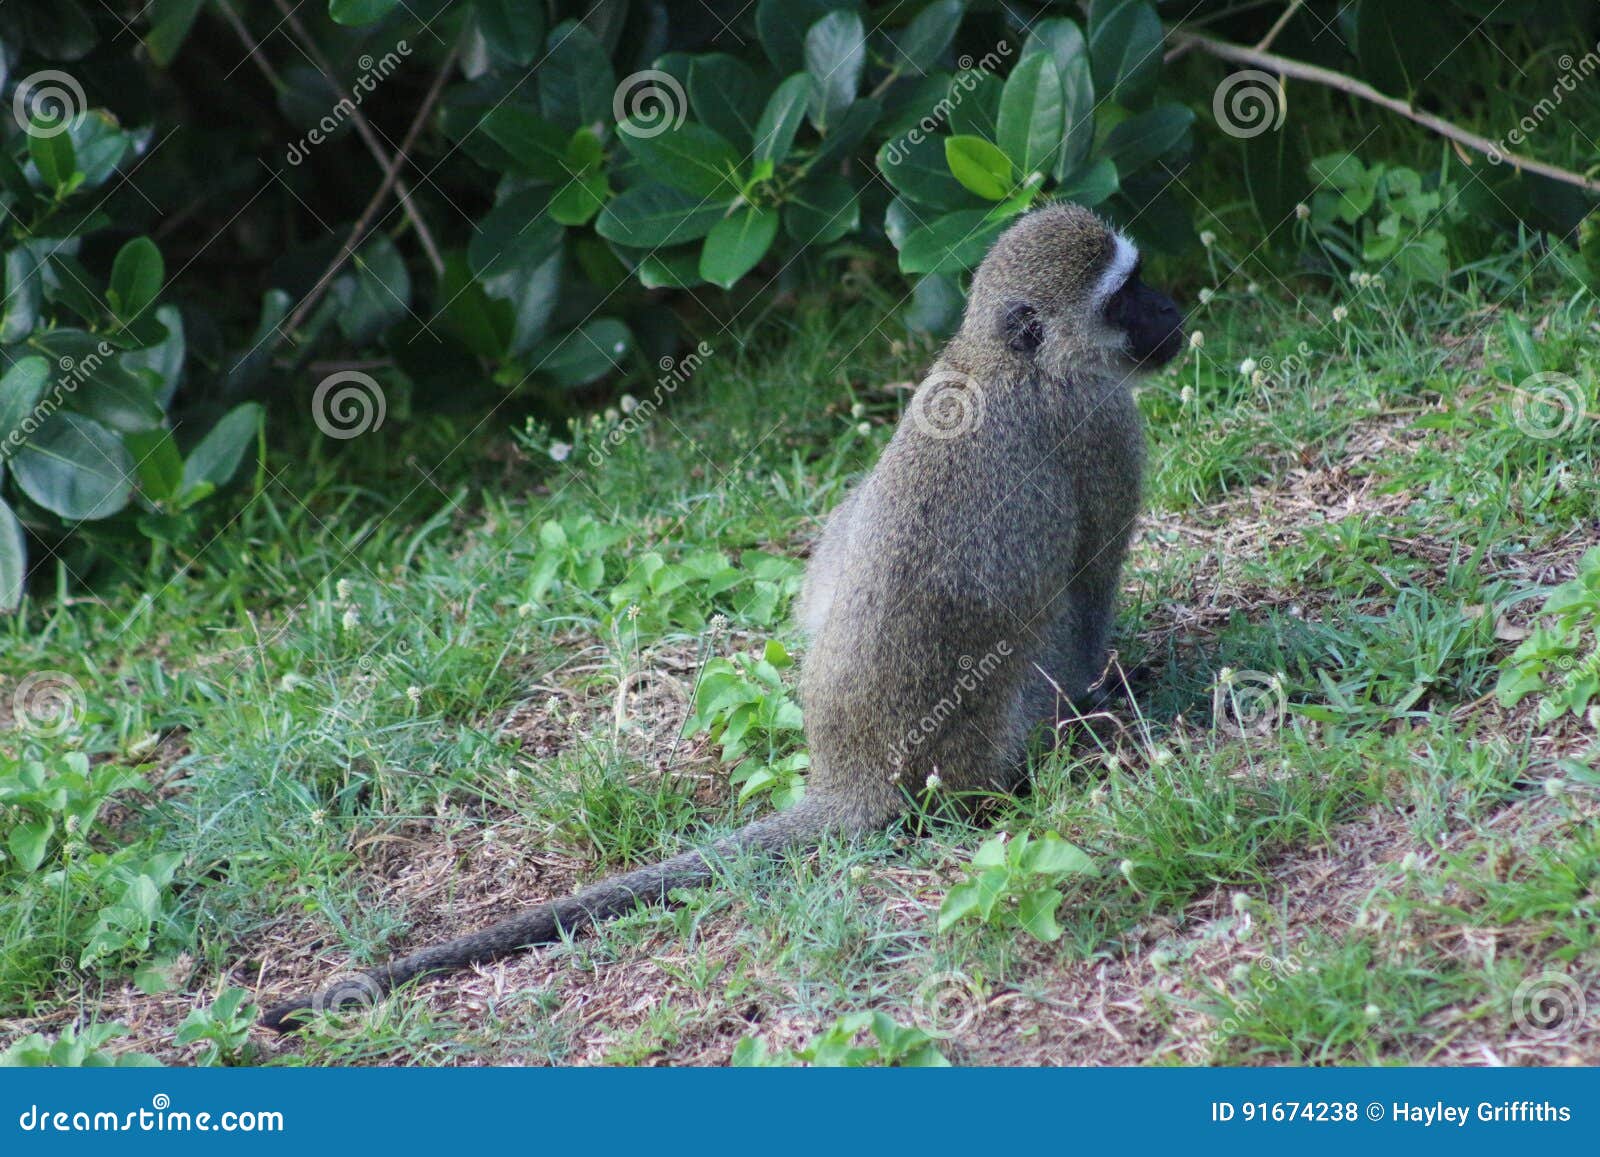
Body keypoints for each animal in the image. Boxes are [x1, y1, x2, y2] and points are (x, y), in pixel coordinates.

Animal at [260, 201, 1182, 1032]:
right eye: (1125, 295)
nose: (1173, 311)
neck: (1007, 360)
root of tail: (855, 772)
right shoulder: (1104, 433)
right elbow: (1090, 586)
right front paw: (1110, 696)